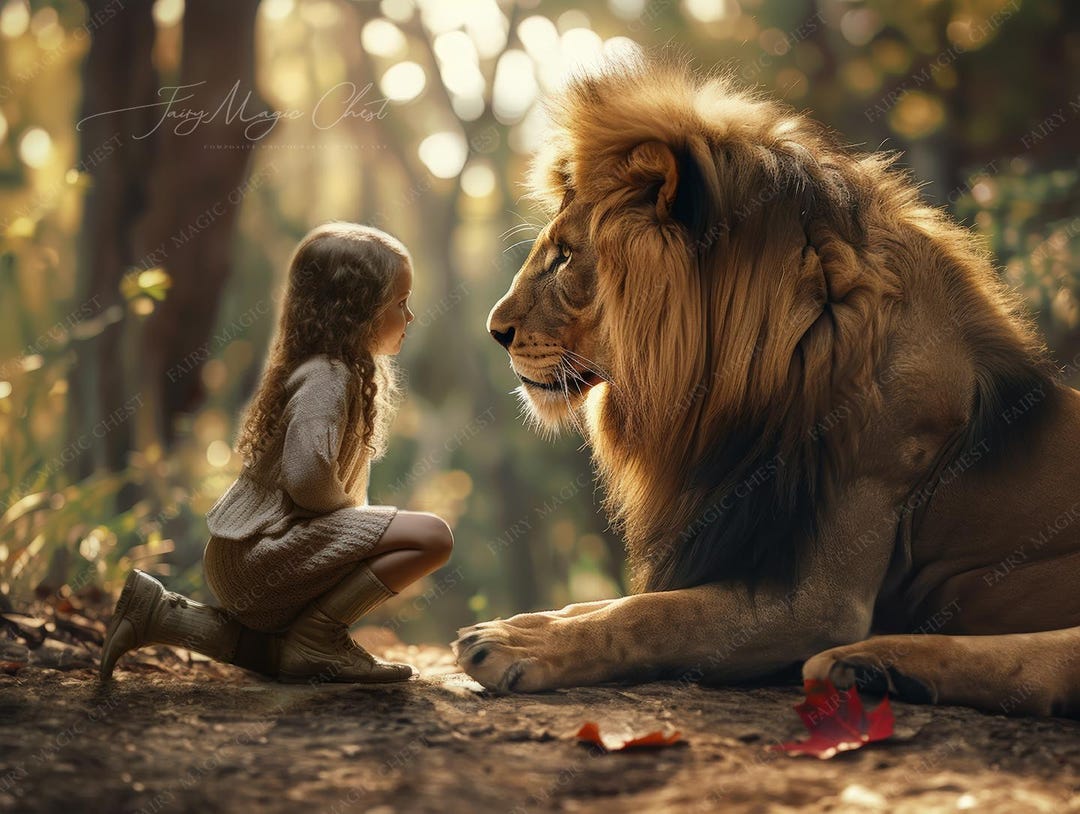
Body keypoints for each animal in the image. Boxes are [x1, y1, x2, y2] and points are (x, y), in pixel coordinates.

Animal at [451, 53, 1080, 717]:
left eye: (565, 257)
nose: (495, 331)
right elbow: (605, 601)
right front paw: (531, 623)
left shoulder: (819, 602)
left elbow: (650, 614)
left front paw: (514, 644)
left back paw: (869, 666)